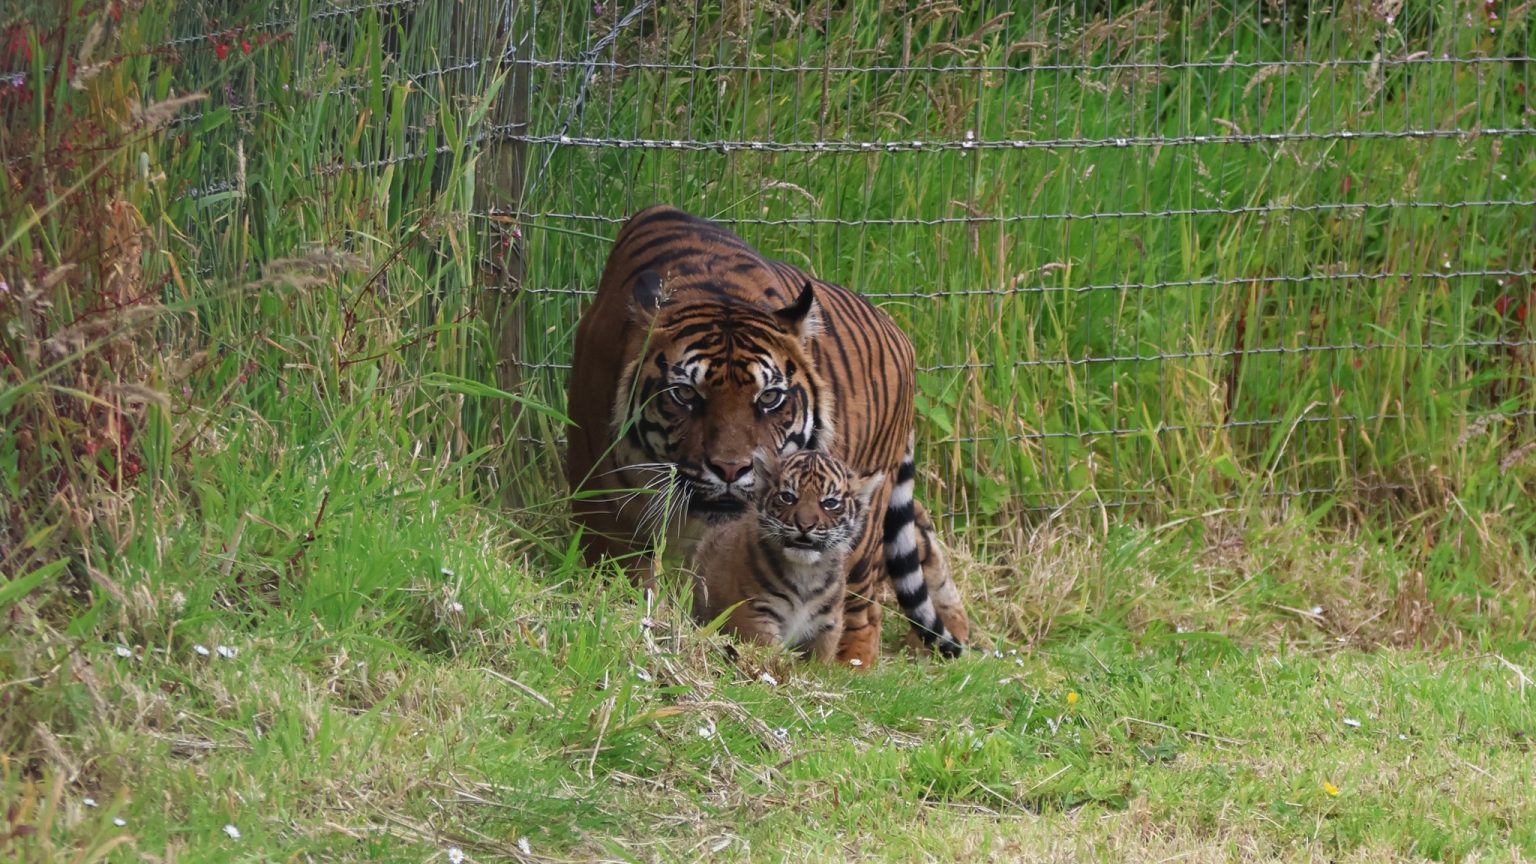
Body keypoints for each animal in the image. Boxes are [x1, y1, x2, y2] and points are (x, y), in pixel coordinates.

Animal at [690, 450, 883, 661]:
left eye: (830, 503)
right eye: (788, 497)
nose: (805, 525)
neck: (806, 572)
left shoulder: (827, 625)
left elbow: (819, 662)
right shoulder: (754, 611)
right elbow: (771, 653)